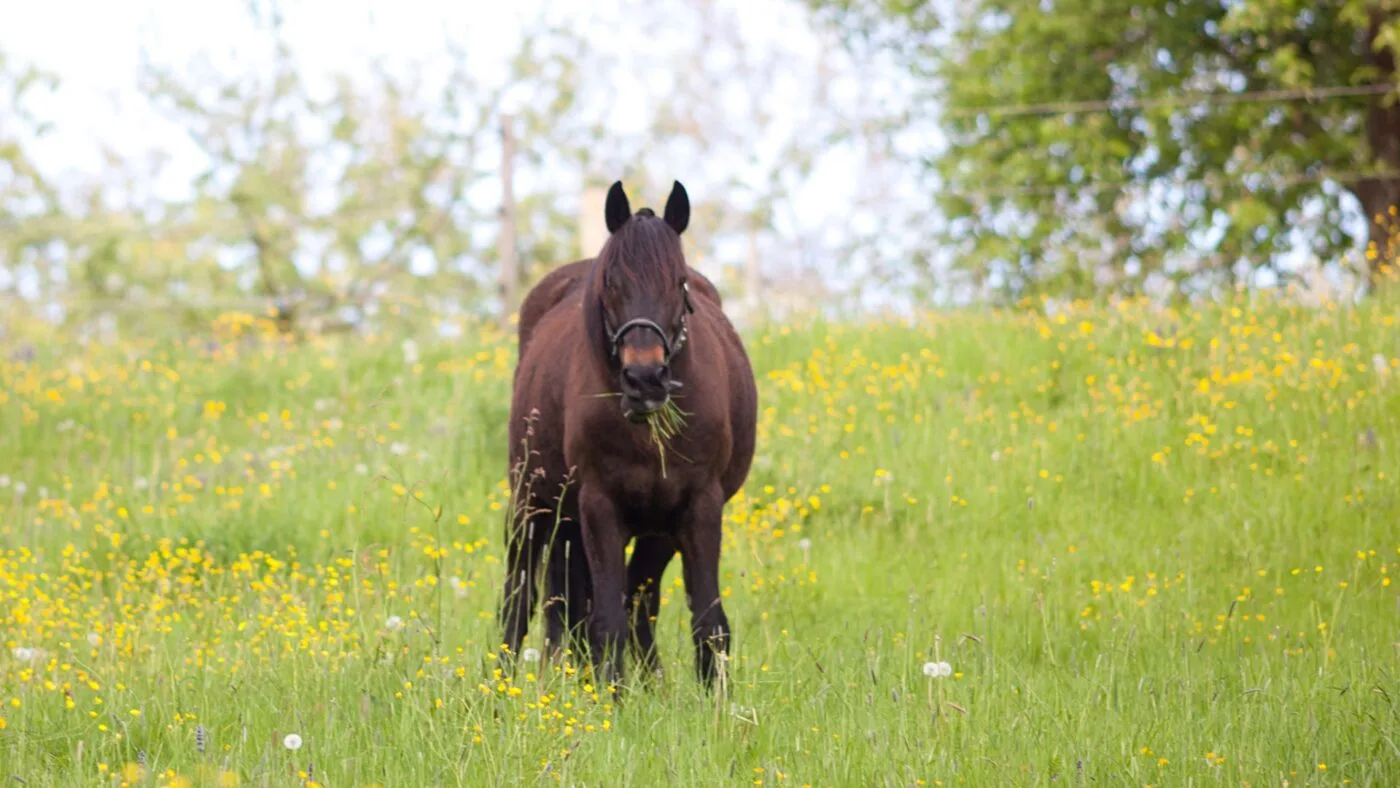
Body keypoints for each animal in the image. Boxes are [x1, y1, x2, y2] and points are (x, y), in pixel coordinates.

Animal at [502, 180, 757, 689]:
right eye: (611, 284)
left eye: (678, 283)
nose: (645, 379)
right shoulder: (599, 505)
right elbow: (606, 622)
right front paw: (611, 701)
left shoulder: (699, 506)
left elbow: (709, 624)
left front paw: (716, 704)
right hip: (532, 503)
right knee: (519, 599)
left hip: (651, 530)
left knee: (636, 601)